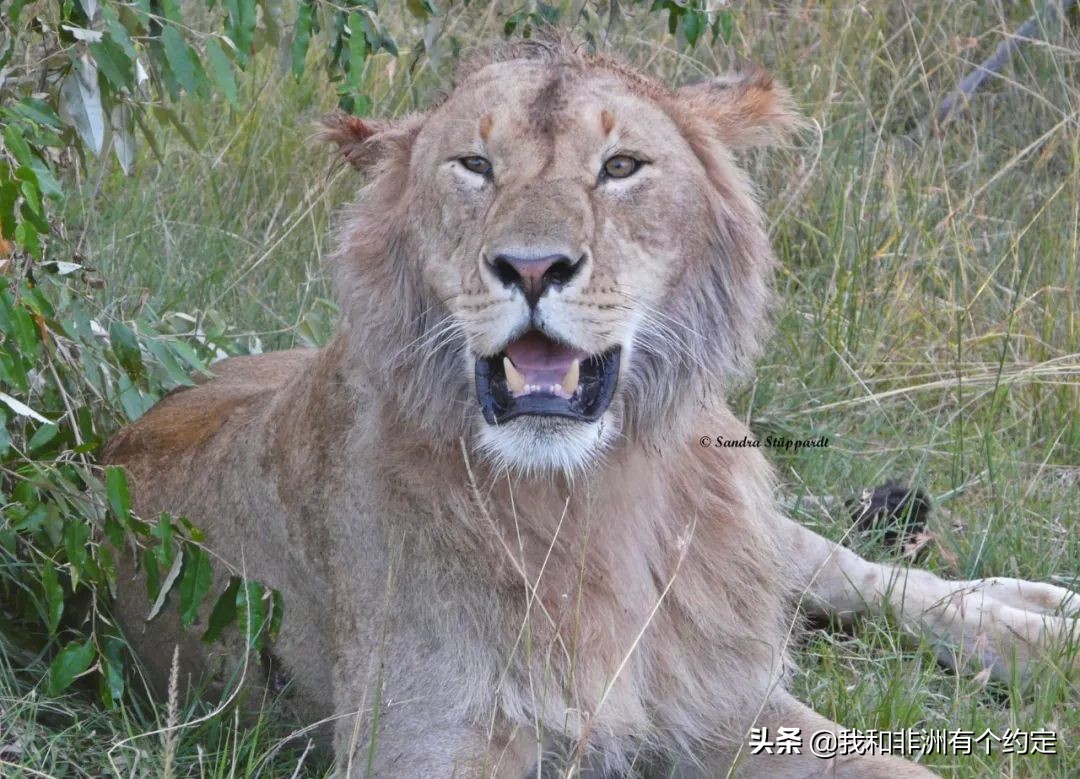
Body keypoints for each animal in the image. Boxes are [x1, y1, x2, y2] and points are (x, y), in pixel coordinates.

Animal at [104, 39, 1078, 777]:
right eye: (475, 166)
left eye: (619, 168)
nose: (533, 266)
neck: (590, 501)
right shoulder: (418, 742)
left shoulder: (725, 698)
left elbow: (891, 759)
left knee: (862, 575)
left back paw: (1044, 629)